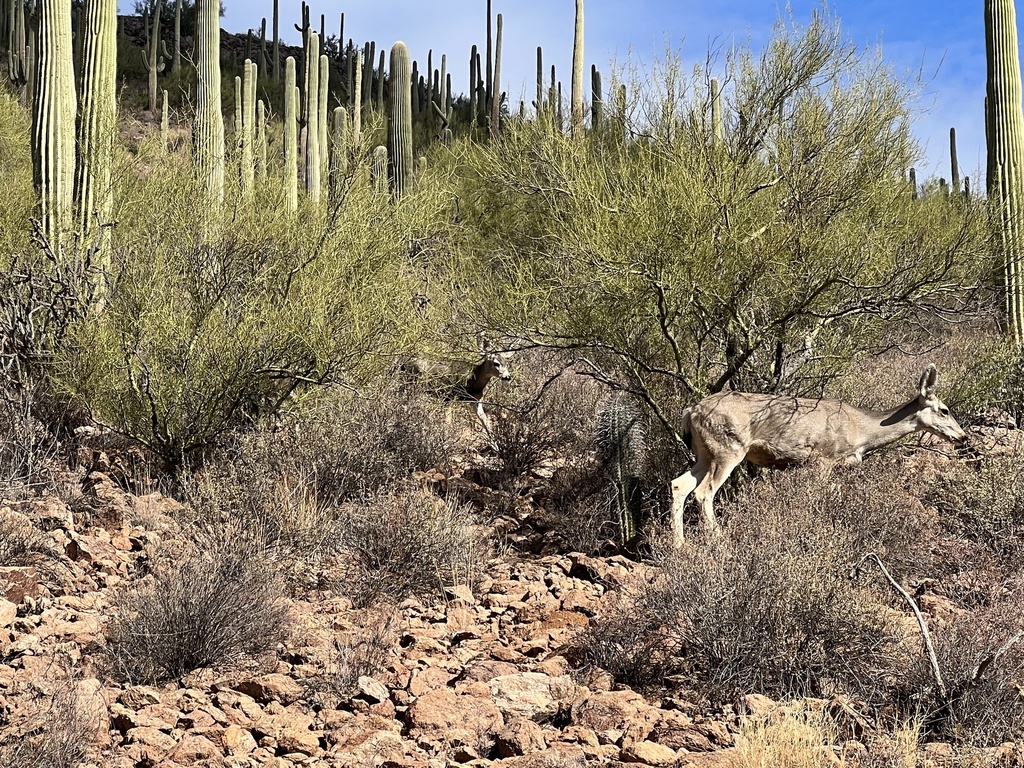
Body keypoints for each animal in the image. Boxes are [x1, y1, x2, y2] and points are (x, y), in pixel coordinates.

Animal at [669, 364, 967, 546]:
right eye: (944, 410)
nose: (963, 437)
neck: (861, 430)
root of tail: (690, 412)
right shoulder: (822, 458)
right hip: (728, 448)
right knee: (704, 492)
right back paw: (720, 542)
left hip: (704, 453)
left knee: (679, 485)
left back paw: (680, 545)